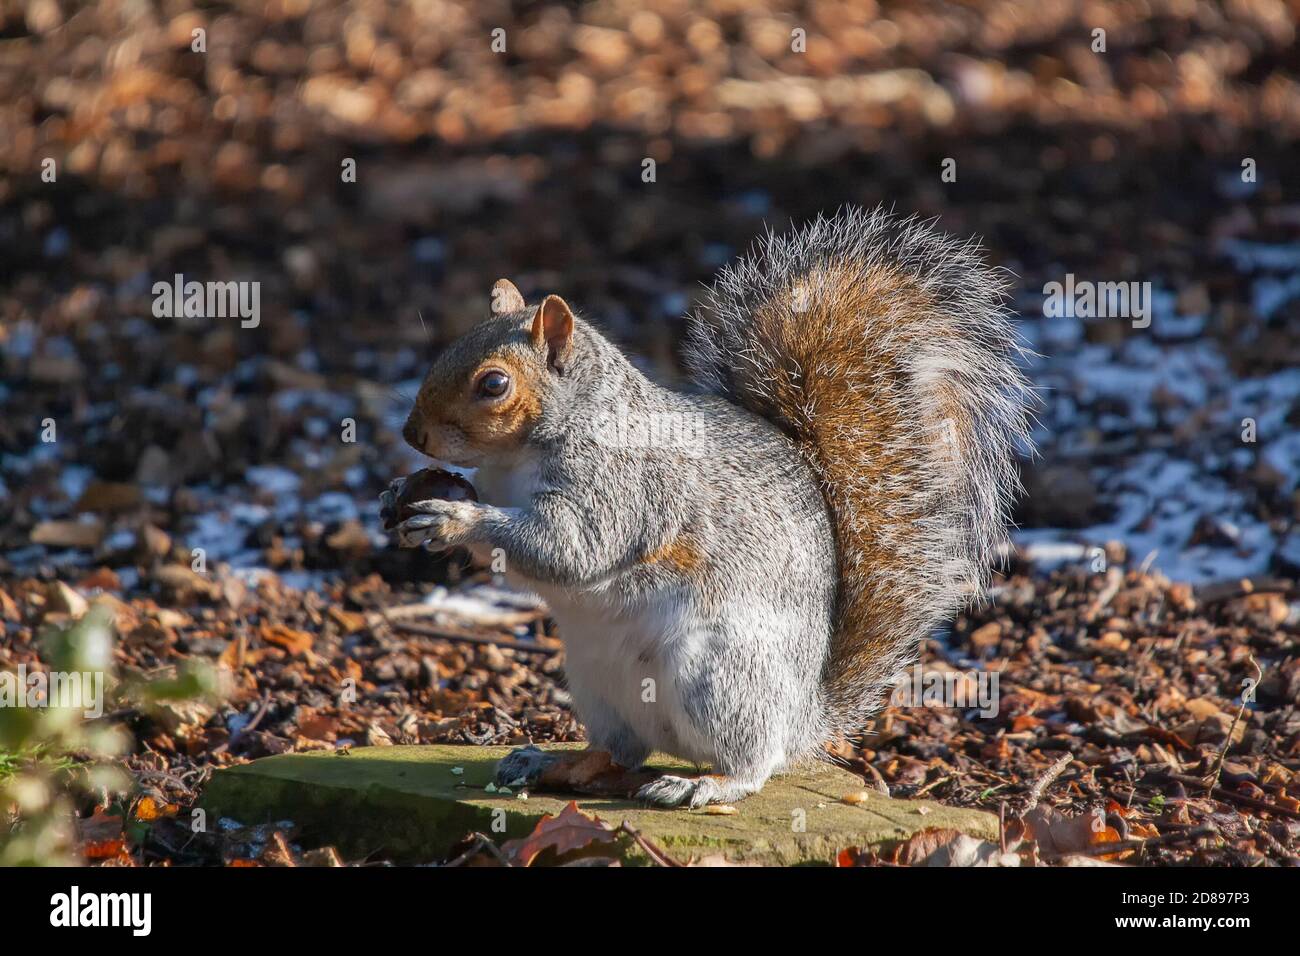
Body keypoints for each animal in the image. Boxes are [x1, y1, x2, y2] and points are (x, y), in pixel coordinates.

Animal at [385, 206, 1033, 807]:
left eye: (493, 384)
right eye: (448, 349)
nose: (413, 435)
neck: (521, 453)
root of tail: (803, 717)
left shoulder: (623, 484)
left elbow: (572, 547)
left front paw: (457, 518)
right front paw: (410, 496)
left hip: (716, 676)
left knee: (750, 763)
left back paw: (705, 784)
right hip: (596, 682)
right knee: (619, 753)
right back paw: (555, 762)